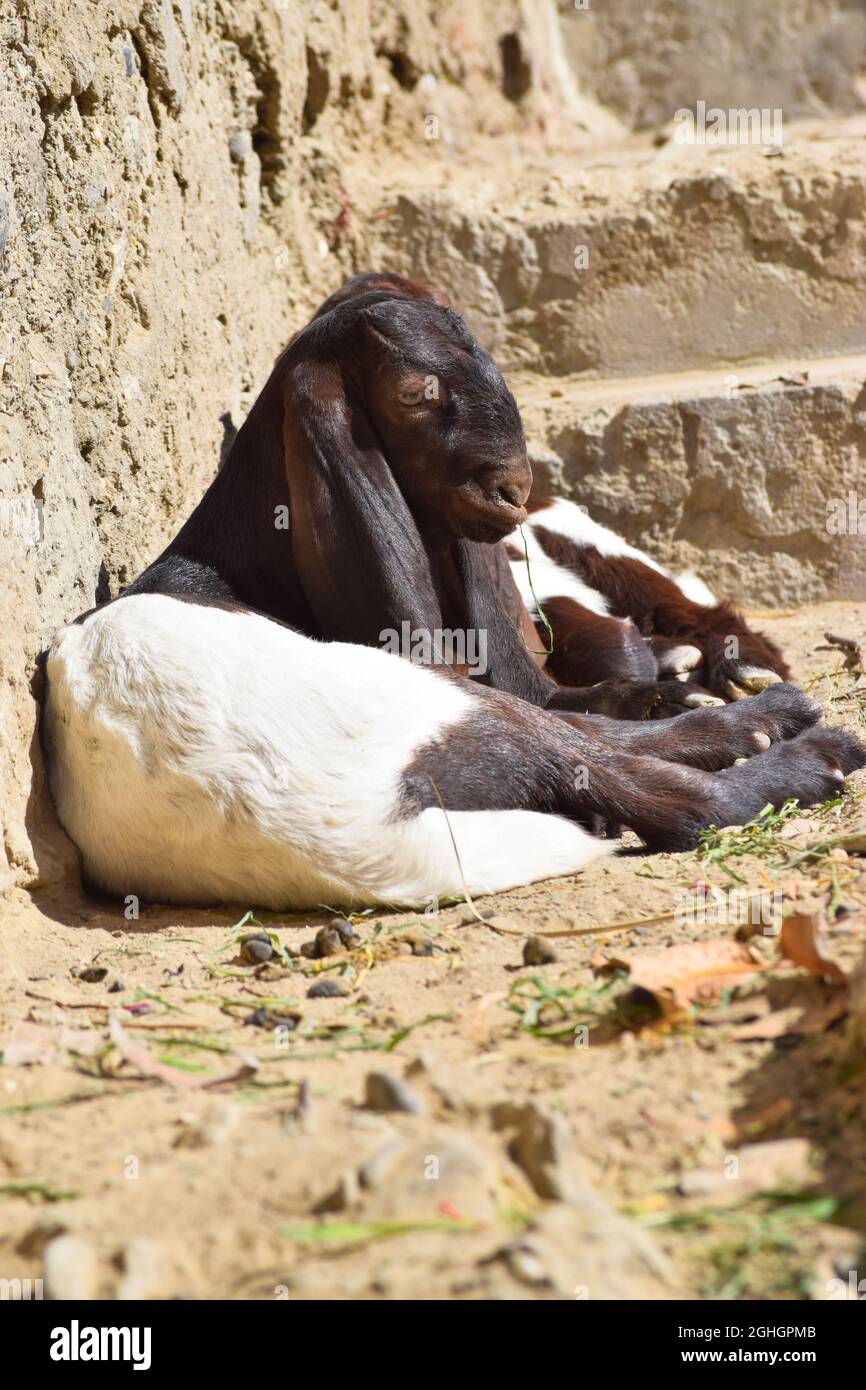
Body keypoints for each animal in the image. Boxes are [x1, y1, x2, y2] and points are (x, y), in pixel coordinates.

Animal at [43, 273, 865, 908]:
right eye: (415, 392)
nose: (513, 488)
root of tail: (374, 837)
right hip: (430, 706)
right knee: (647, 784)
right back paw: (788, 735)